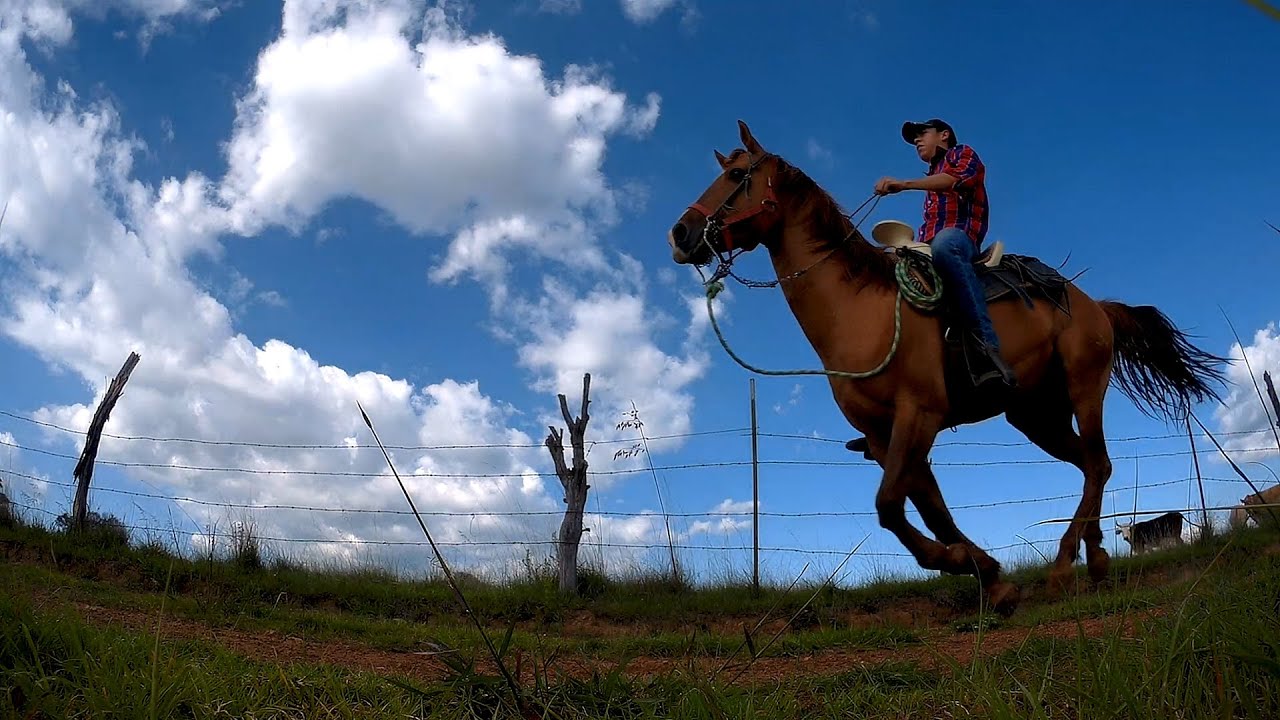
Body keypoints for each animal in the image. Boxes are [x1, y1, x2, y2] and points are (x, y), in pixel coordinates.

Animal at [666, 120, 1229, 615]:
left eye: (739, 175)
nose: (680, 233)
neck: (860, 310)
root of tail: (1096, 306)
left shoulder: (919, 415)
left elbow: (891, 505)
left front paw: (960, 563)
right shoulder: (883, 435)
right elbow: (928, 507)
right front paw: (991, 578)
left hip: (1084, 388)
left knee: (1099, 463)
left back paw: (1064, 566)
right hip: (1035, 416)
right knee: (1092, 466)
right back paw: (1095, 560)